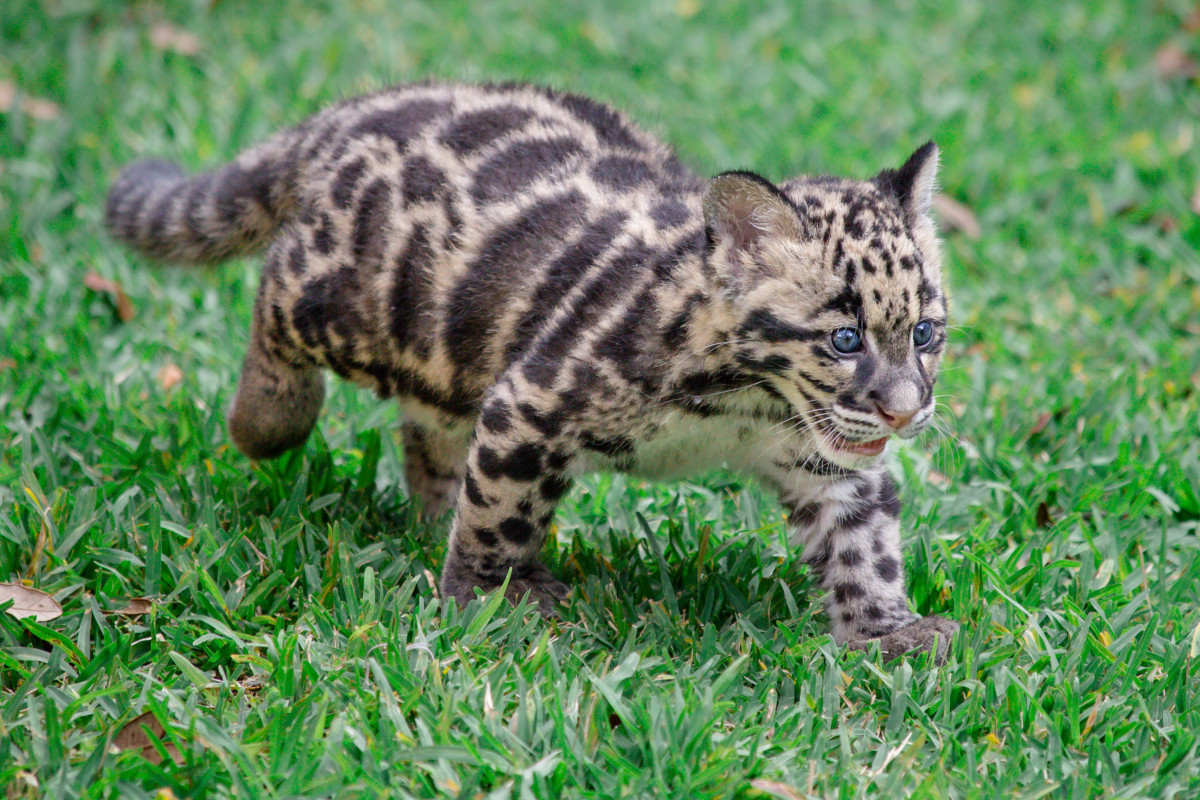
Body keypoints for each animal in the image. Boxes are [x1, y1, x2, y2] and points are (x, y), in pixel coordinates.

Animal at [105, 81, 959, 662]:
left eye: (925, 333)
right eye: (844, 339)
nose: (905, 411)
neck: (747, 403)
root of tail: (348, 112)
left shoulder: (830, 464)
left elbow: (864, 544)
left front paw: (890, 631)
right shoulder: (534, 399)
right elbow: (503, 509)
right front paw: (487, 597)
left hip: (447, 350)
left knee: (429, 437)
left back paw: (429, 520)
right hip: (358, 301)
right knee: (276, 289)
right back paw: (264, 420)